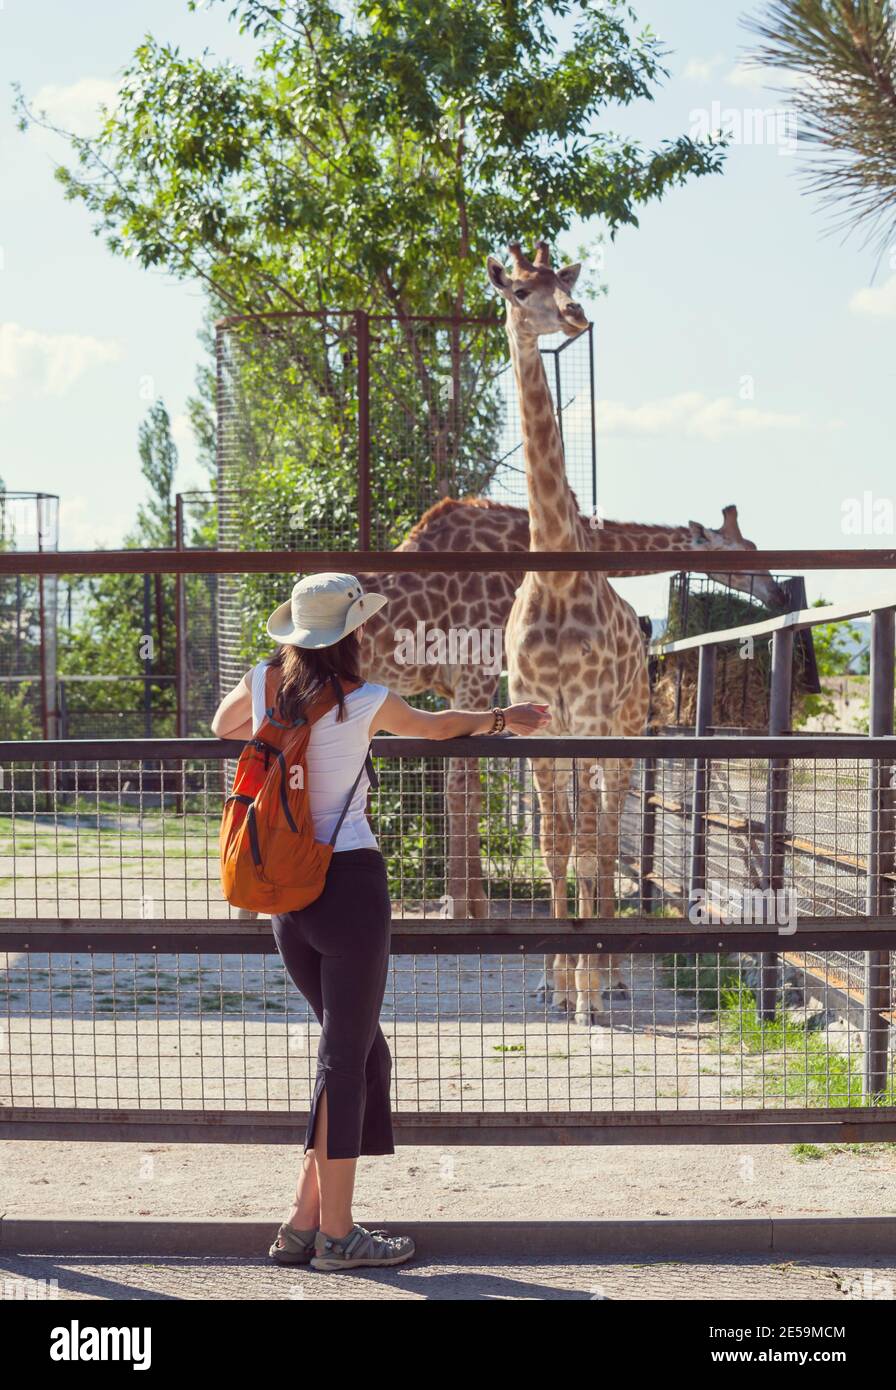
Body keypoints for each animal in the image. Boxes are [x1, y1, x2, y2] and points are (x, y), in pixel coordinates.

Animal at [354, 499, 783, 919]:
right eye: (744, 552)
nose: (775, 591)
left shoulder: (455, 687)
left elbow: (464, 788)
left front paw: (473, 902)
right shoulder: (476, 668)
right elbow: (464, 789)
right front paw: (466, 907)